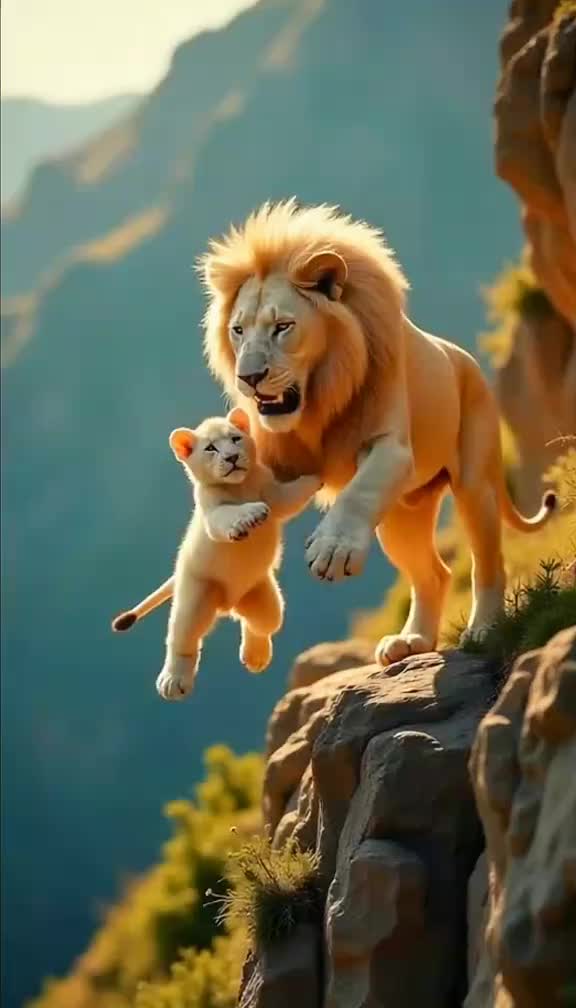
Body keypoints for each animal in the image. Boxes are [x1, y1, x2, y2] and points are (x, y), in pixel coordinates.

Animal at [199, 200, 556, 666]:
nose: (250, 378)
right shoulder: (274, 465)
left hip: (475, 484)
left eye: (283, 327)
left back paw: (483, 630)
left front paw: (332, 551)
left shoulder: (390, 447)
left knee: (487, 561)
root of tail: (467, 361)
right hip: (402, 516)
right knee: (435, 574)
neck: (319, 400)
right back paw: (411, 641)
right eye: (237, 330)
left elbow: (358, 491)